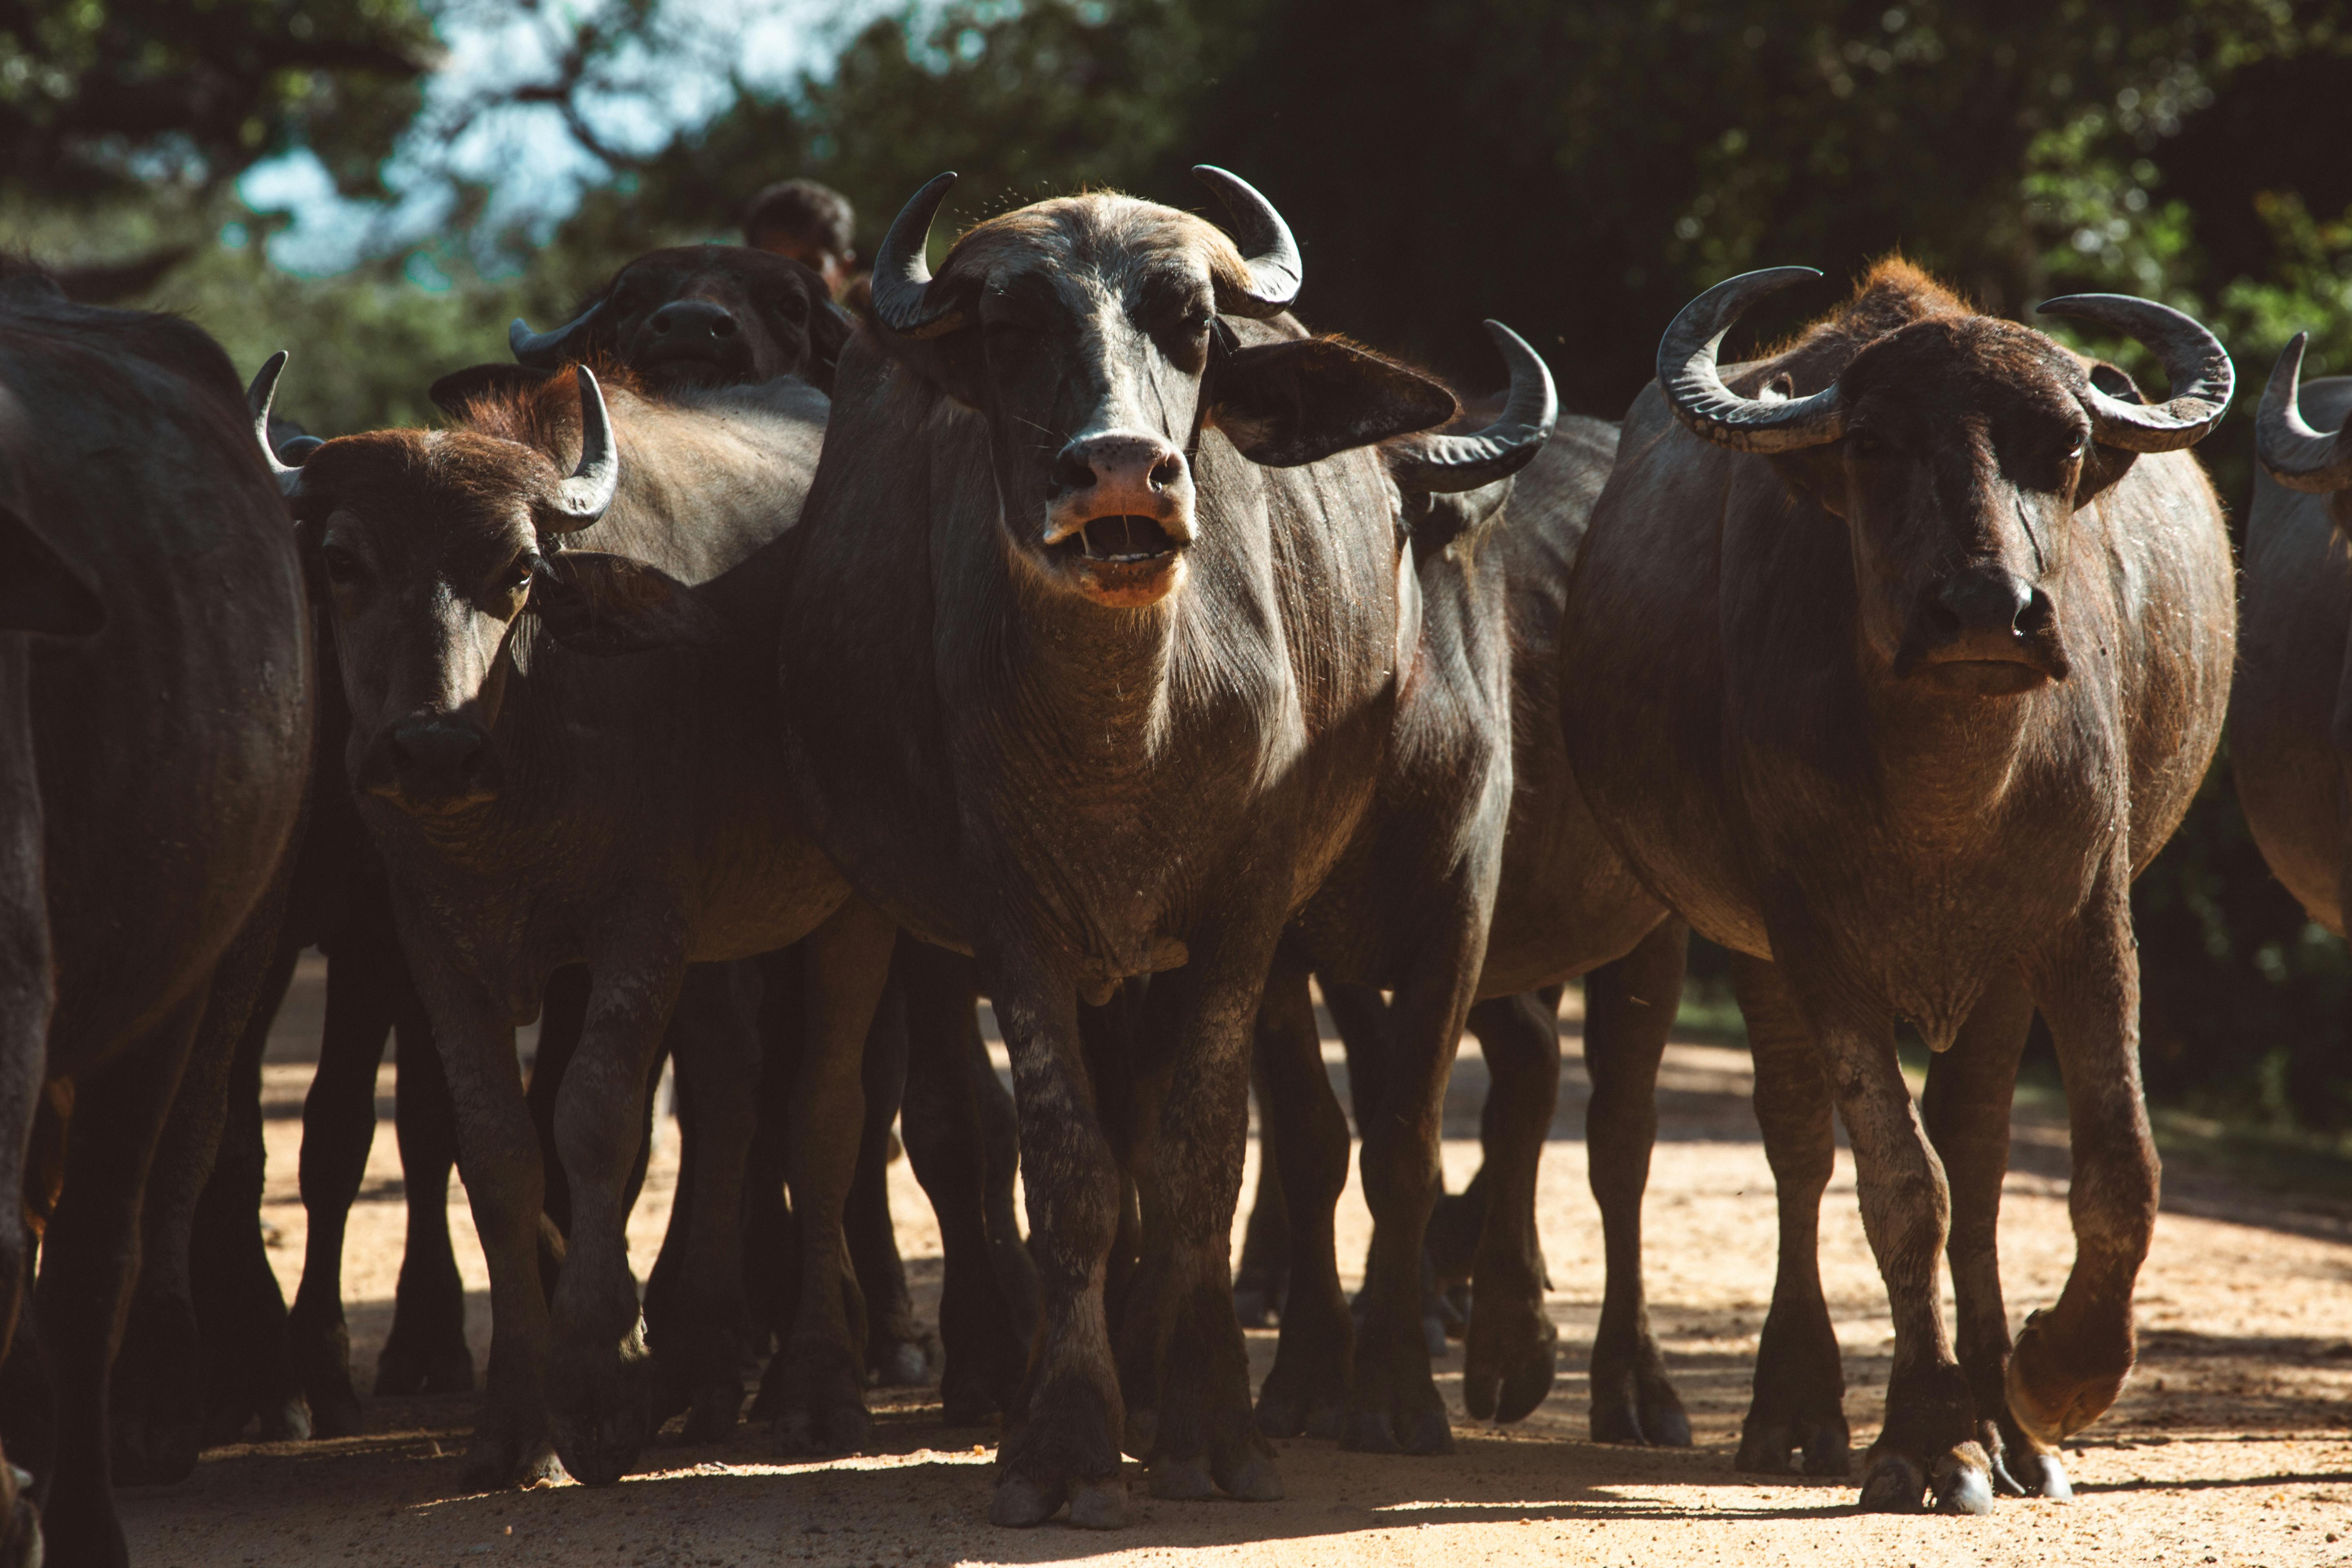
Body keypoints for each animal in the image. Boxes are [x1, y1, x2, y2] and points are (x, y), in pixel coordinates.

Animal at [253, 354, 895, 1487]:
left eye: (518, 571)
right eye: (341, 561)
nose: (431, 749)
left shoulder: (641, 924)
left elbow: (596, 1117)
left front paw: (599, 1379)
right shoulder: (429, 941)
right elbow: (496, 1149)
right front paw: (518, 1411)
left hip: (847, 908)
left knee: (822, 1113)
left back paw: (817, 1384)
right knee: (729, 1096)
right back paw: (705, 1366)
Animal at [771, 167, 1528, 1525]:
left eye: (1192, 326)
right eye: (1012, 327)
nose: (1123, 468)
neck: (1127, 739)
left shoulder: (1245, 919)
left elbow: (1199, 1160)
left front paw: (1211, 1424)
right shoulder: (1012, 923)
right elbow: (1070, 1169)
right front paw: (1067, 1438)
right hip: (864, 909)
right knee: (831, 1112)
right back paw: (832, 1386)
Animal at [1557, 260, 2234, 1513]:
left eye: (2065, 443)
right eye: (1872, 442)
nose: (1984, 611)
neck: (1947, 785)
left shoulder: (2083, 913)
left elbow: (2119, 1163)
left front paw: (2050, 1378)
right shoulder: (1805, 934)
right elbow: (1898, 1184)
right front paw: (1927, 1436)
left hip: (1986, 965)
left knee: (1975, 1144)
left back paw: (2008, 1427)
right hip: (1725, 943)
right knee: (1779, 1141)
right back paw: (1790, 1409)